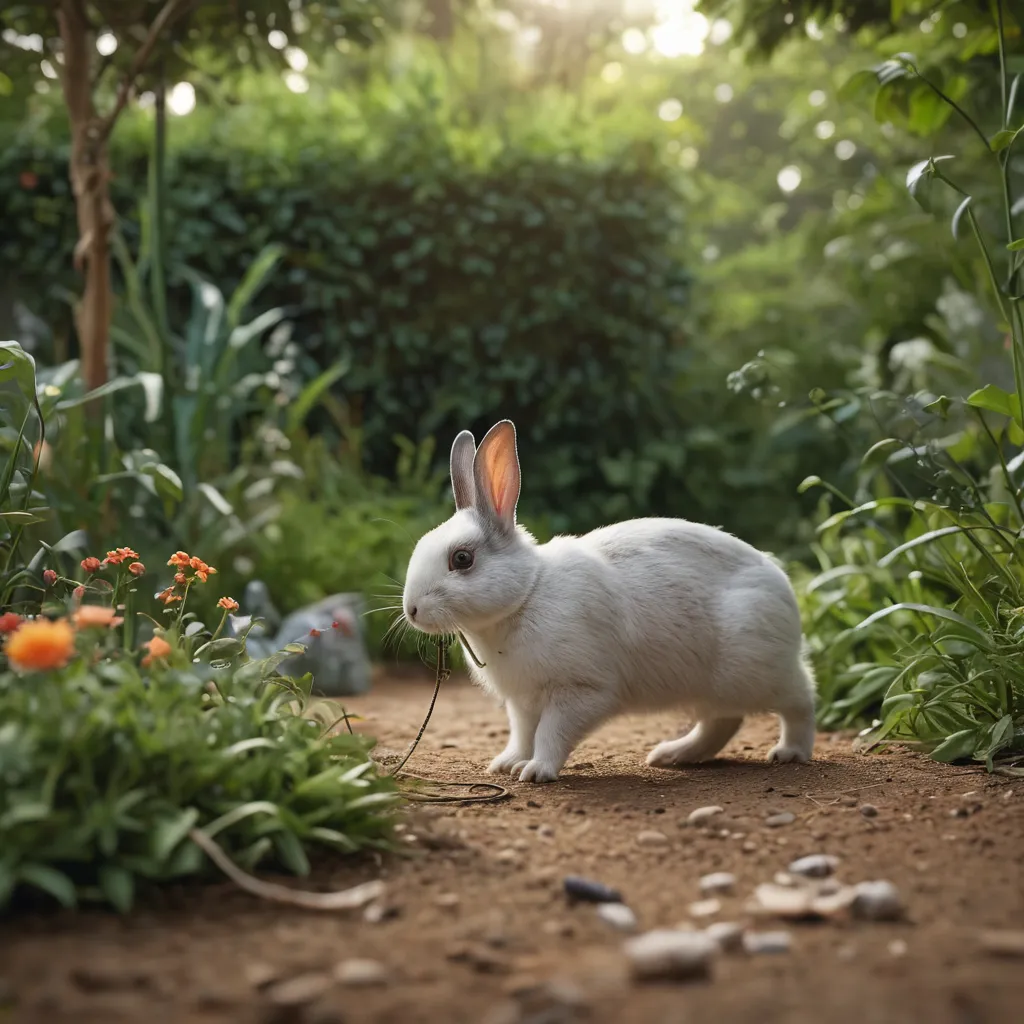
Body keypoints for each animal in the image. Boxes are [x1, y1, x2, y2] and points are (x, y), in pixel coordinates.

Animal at [401, 420, 816, 783]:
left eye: (462, 559)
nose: (412, 610)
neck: (528, 594)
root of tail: (781, 585)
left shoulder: (581, 692)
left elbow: (550, 735)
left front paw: (536, 772)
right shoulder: (522, 703)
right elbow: (522, 735)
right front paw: (506, 764)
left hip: (759, 673)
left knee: (801, 699)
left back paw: (789, 752)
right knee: (723, 721)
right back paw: (672, 755)